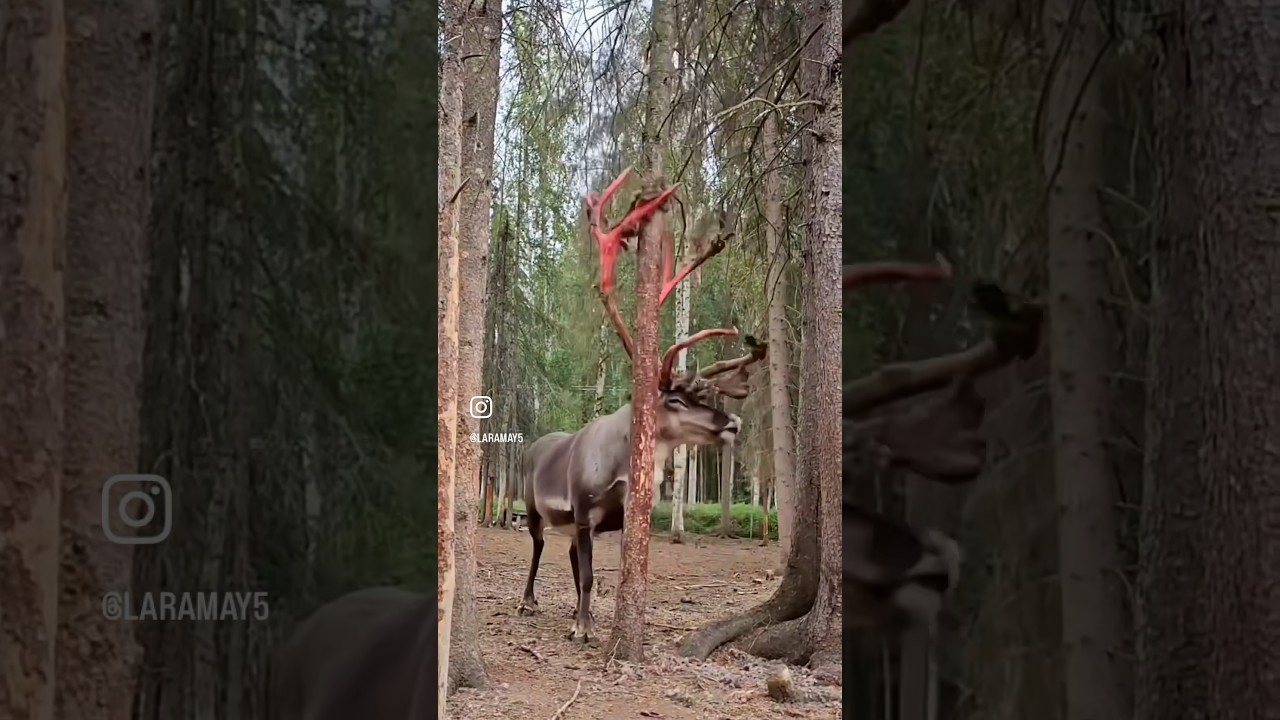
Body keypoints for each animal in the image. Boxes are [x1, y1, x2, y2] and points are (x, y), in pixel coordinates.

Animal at [517, 169, 767, 643]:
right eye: (675, 398)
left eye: (706, 395)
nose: (733, 423)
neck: (623, 463)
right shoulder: (583, 508)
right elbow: (589, 574)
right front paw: (582, 628)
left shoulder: (624, 515)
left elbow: (604, 574)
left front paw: (589, 618)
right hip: (531, 505)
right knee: (539, 546)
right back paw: (527, 601)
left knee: (571, 556)